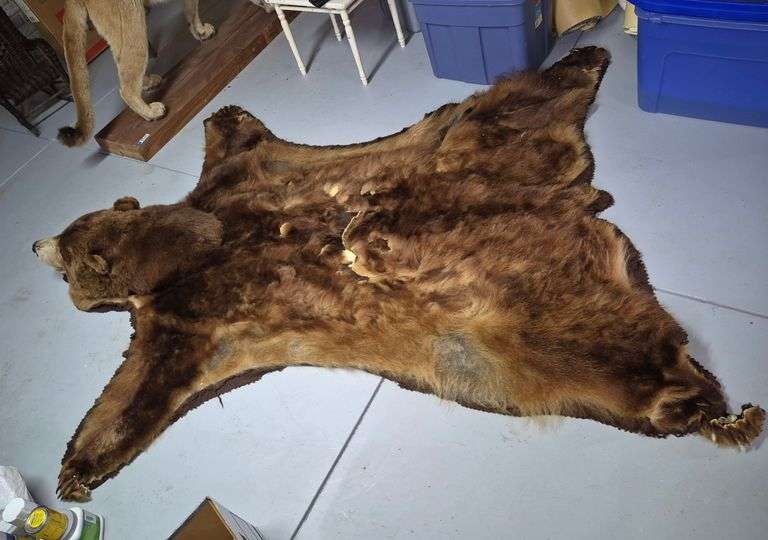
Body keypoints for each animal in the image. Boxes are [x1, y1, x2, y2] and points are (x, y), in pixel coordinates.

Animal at [33, 47, 764, 502]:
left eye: (66, 256)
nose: (37, 242)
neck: (193, 241)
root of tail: (574, 200)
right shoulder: (214, 257)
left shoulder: (189, 310)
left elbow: (138, 391)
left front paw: (75, 468)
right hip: (536, 287)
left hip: (475, 184)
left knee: (504, 96)